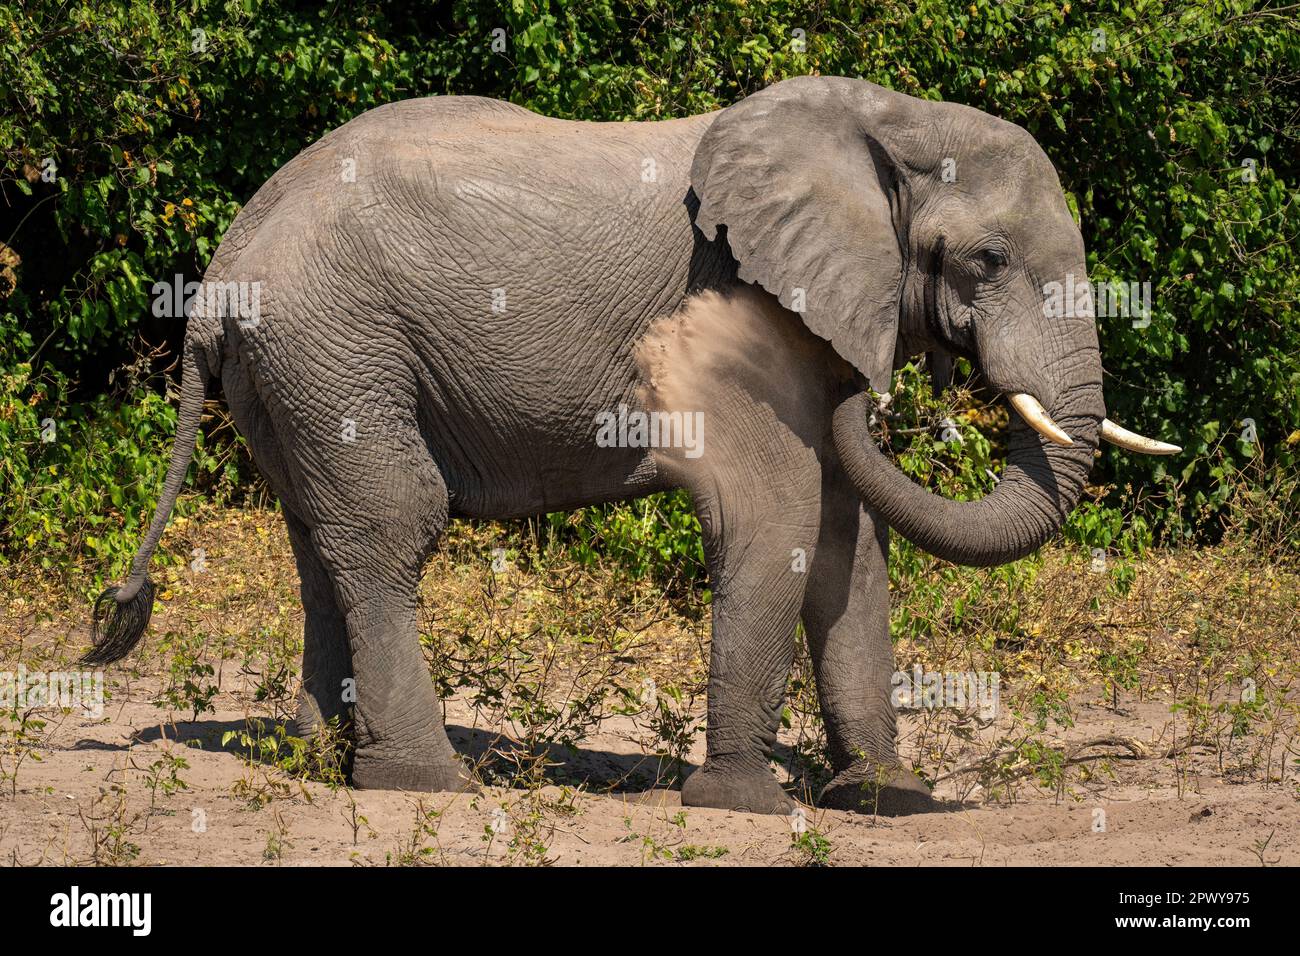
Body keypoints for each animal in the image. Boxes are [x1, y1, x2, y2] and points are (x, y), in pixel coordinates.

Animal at [84, 76, 1180, 815]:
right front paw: (744, 803)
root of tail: (219, 271)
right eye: (986, 259)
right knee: (392, 528)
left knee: (323, 544)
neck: (881, 120)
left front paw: (883, 798)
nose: (891, 391)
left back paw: (320, 765)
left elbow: (847, 539)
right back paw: (425, 781)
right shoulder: (740, 306)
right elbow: (776, 510)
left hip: (297, 373)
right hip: (333, 340)